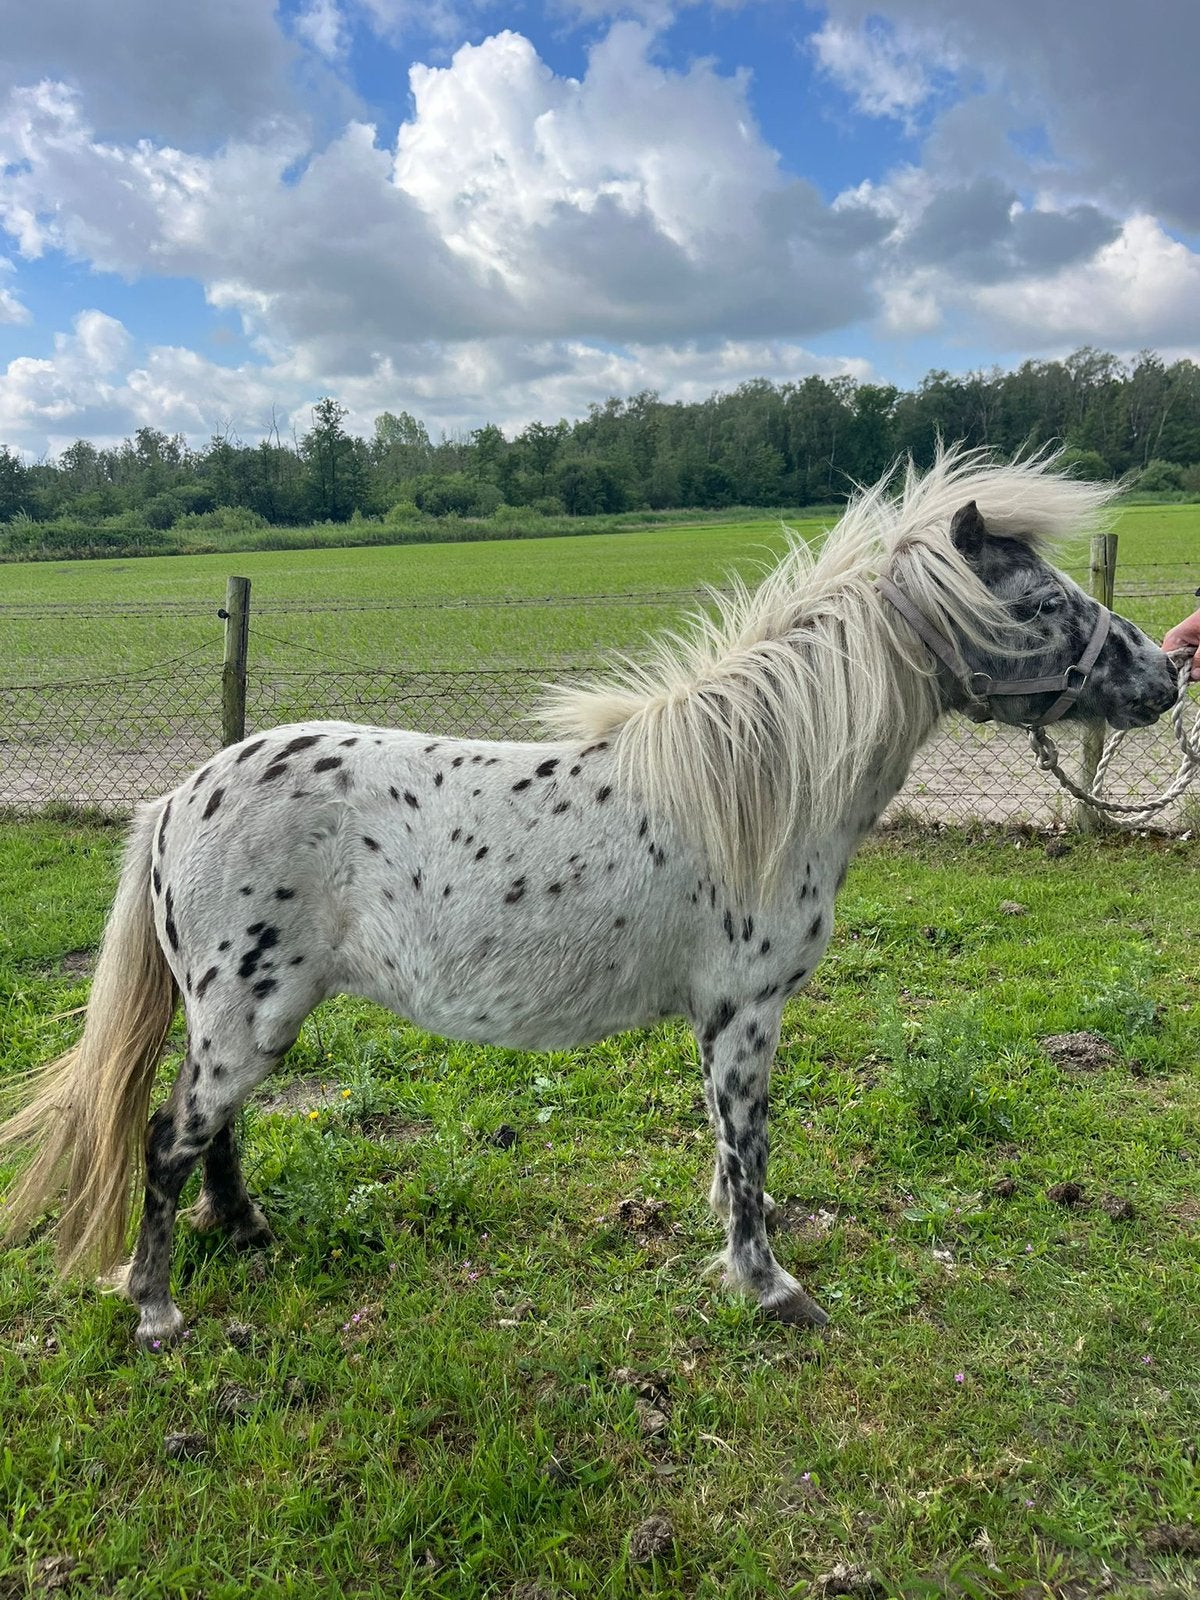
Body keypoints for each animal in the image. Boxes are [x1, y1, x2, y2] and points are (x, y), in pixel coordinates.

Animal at [0, 446, 1178, 1349]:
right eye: (1042, 604)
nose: (1166, 679)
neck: (753, 786)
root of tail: (176, 796)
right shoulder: (744, 1012)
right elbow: (748, 1145)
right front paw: (770, 1287)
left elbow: (731, 1149)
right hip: (241, 1016)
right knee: (168, 1137)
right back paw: (156, 1311)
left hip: (253, 1019)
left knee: (214, 1132)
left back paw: (246, 1234)